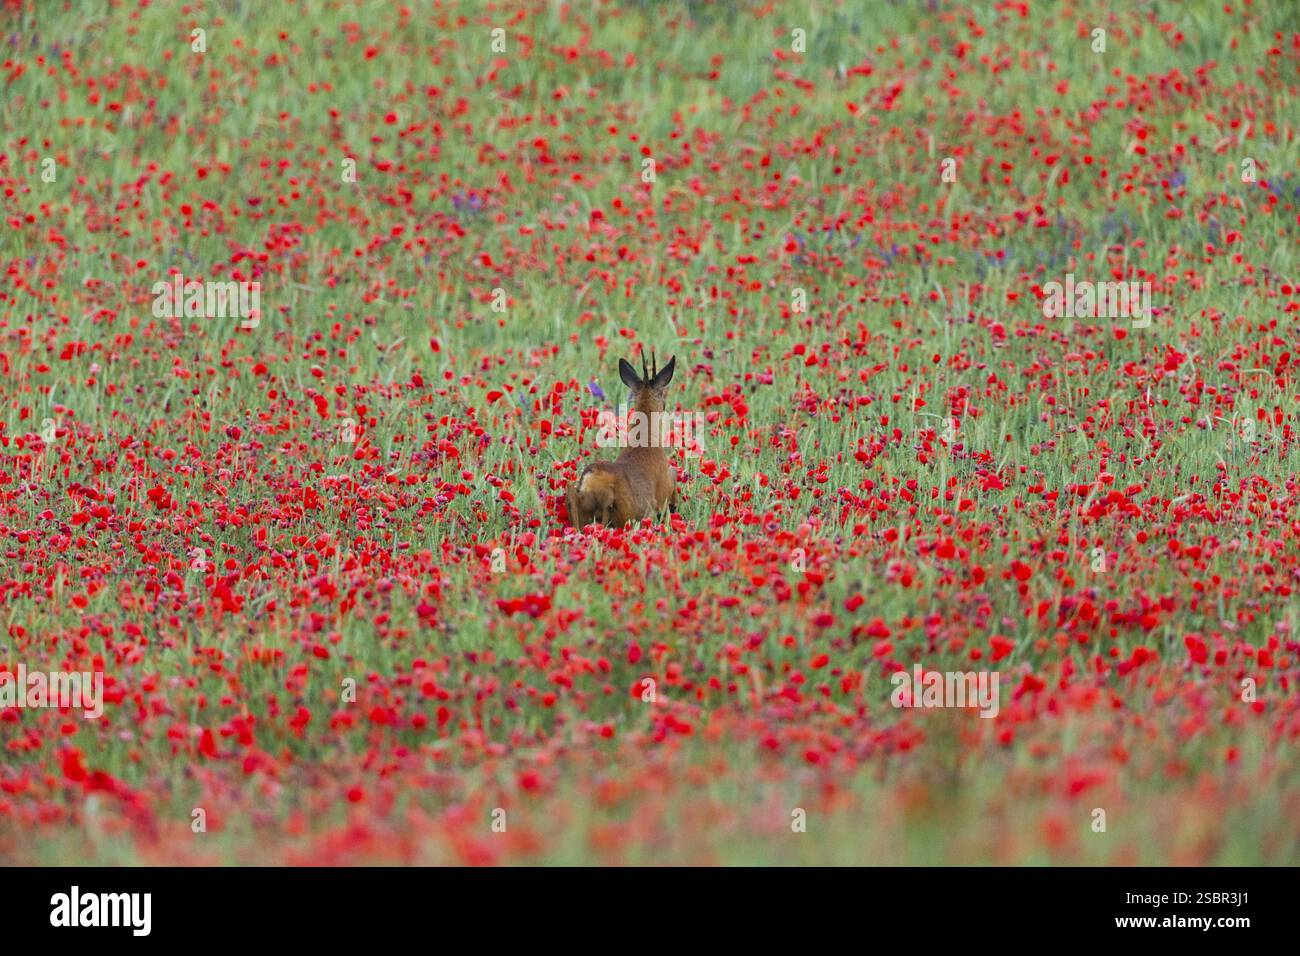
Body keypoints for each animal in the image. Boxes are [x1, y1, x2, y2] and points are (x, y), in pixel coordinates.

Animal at [567, 351, 679, 528]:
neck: (645, 440)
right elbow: (674, 476)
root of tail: (591, 482)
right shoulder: (664, 487)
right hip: (628, 514)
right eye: (663, 396)